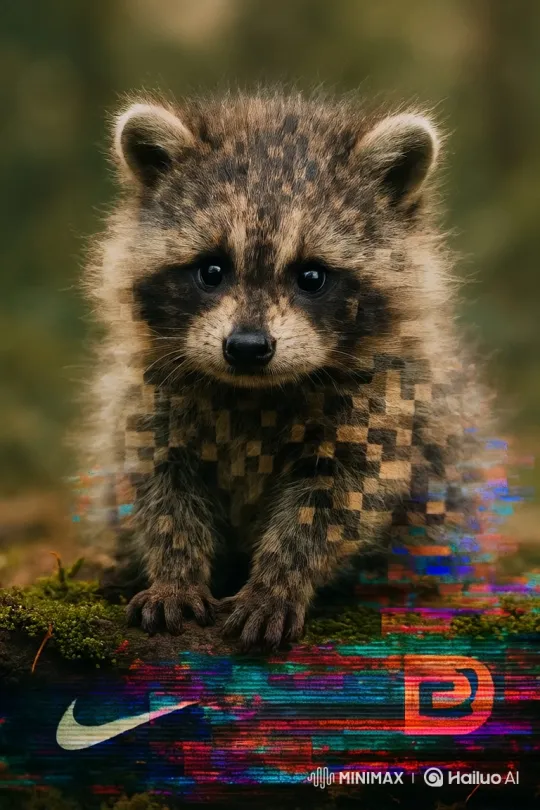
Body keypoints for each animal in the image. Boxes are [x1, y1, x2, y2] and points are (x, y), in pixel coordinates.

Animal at [83, 91, 489, 651]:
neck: (252, 388)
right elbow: (159, 486)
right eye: (212, 270)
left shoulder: (385, 404)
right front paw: (175, 573)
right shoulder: (146, 395)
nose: (248, 347)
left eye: (312, 276)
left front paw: (277, 583)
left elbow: (335, 501)